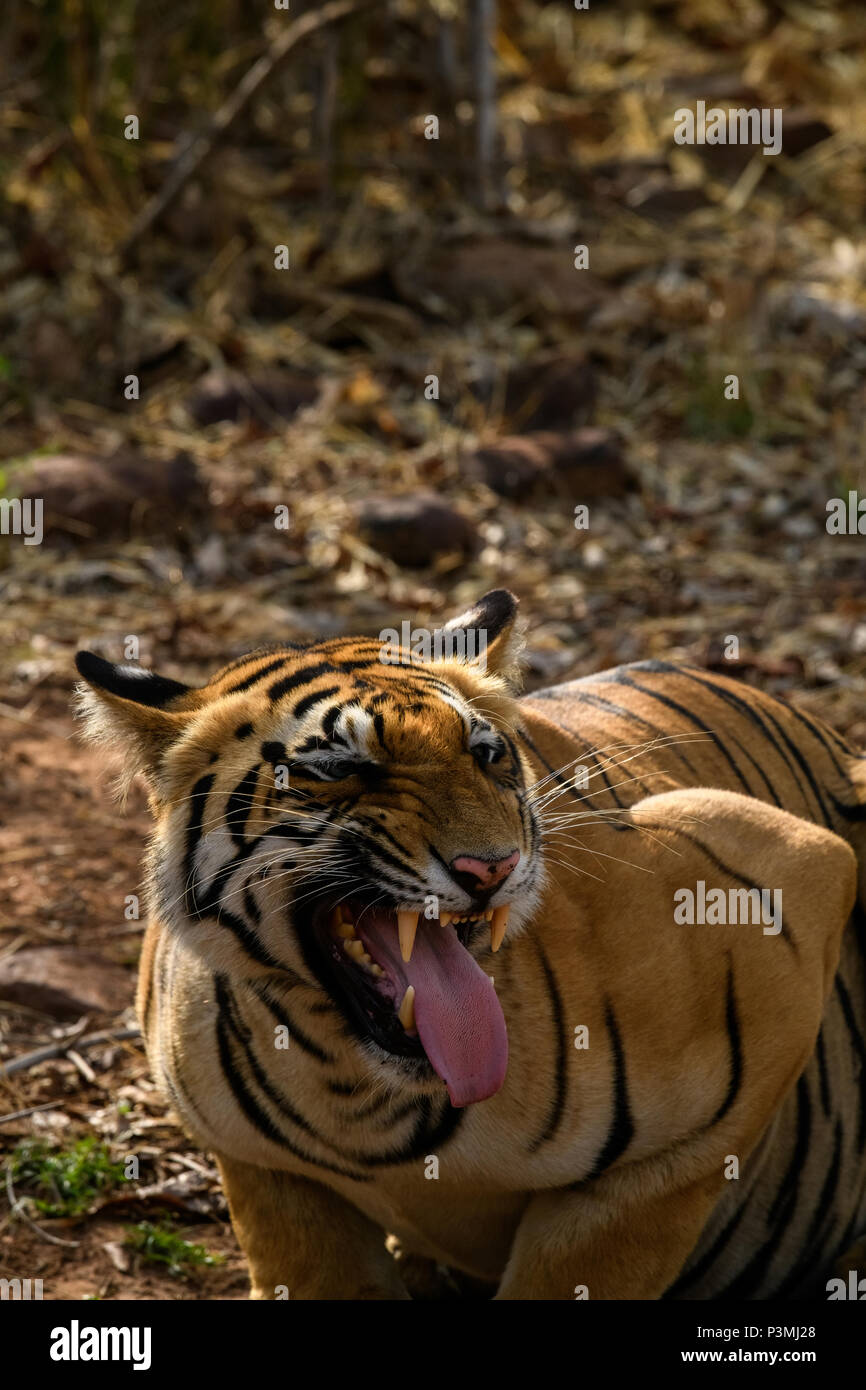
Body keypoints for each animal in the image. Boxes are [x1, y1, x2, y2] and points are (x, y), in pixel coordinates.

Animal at [74, 588, 866, 1300]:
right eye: (336, 769)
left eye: (487, 755)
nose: (493, 867)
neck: (355, 1092)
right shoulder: (270, 1177)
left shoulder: (790, 874)